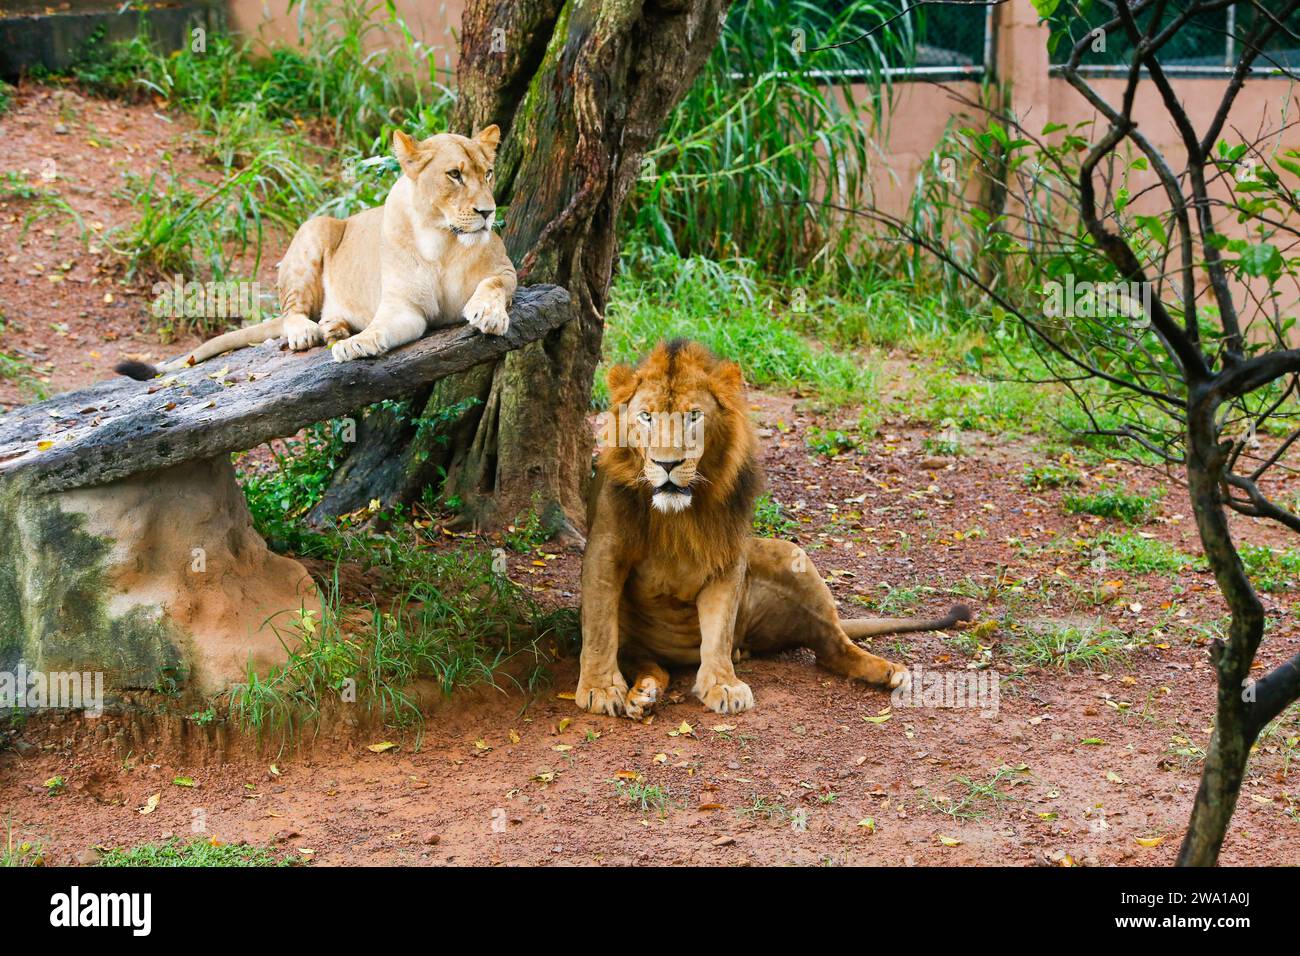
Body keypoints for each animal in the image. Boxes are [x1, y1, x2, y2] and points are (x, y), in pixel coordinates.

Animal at [116, 125, 516, 380]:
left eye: (488, 173)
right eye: (454, 175)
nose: (487, 212)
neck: (442, 243)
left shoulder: (505, 270)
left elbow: (494, 284)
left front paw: (488, 314)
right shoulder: (403, 308)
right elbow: (380, 327)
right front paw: (357, 345)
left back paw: (333, 326)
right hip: (315, 227)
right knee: (291, 310)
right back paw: (312, 332)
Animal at [576, 339, 973, 718]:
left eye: (694, 416)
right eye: (646, 417)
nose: (667, 464)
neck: (676, 514)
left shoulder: (727, 554)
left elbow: (717, 630)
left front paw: (722, 684)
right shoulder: (605, 549)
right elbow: (599, 628)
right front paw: (600, 689)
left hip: (791, 555)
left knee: (830, 647)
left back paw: (888, 672)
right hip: (639, 644)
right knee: (649, 664)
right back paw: (643, 695)